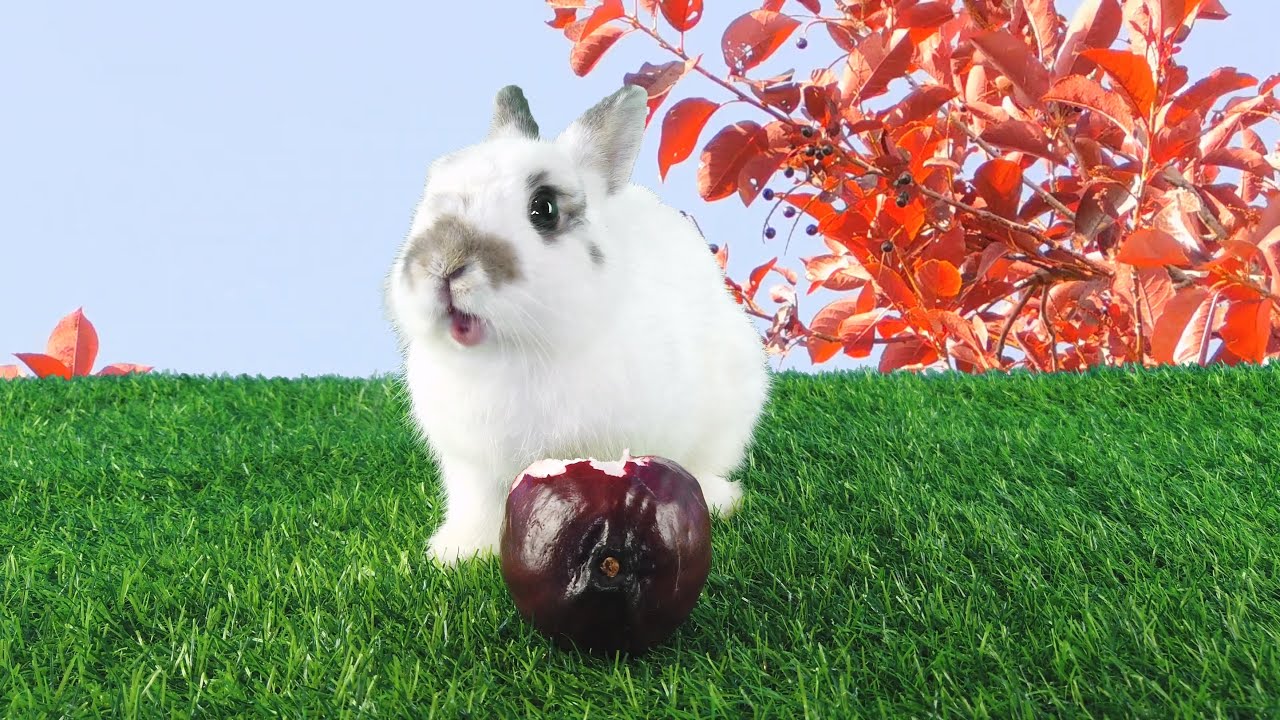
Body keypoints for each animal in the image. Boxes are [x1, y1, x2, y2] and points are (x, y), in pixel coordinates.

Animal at [384, 83, 771, 565]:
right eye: (432, 189)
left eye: (544, 208)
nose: (444, 265)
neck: (517, 350)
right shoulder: (472, 466)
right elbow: (479, 508)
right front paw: (461, 554)